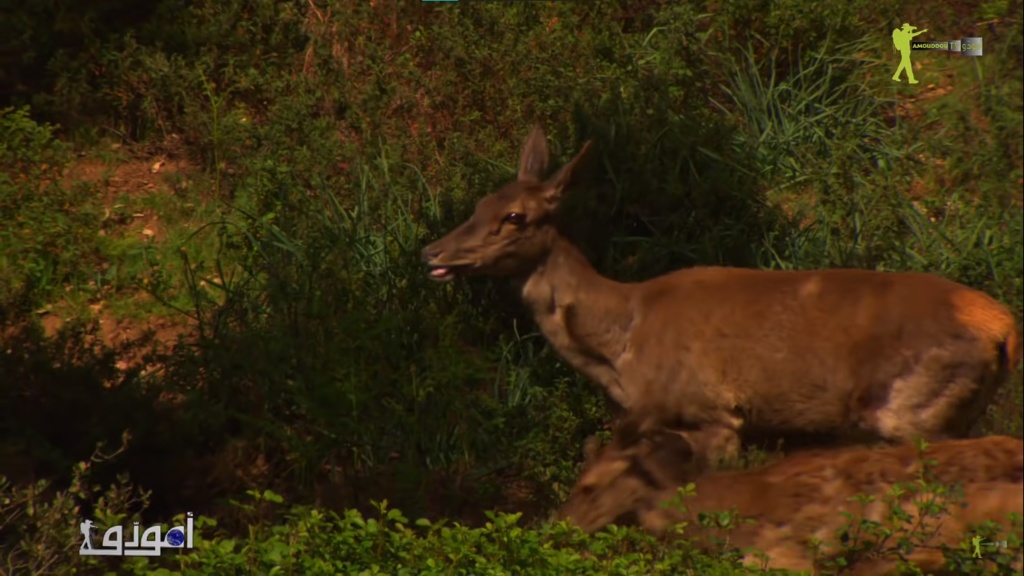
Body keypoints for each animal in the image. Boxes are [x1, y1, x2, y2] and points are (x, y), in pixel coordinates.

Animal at [420, 124, 1021, 466]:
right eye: (479, 202)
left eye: (514, 217)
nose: (432, 251)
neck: (619, 344)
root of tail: (1005, 328)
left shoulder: (711, 413)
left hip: (916, 413)